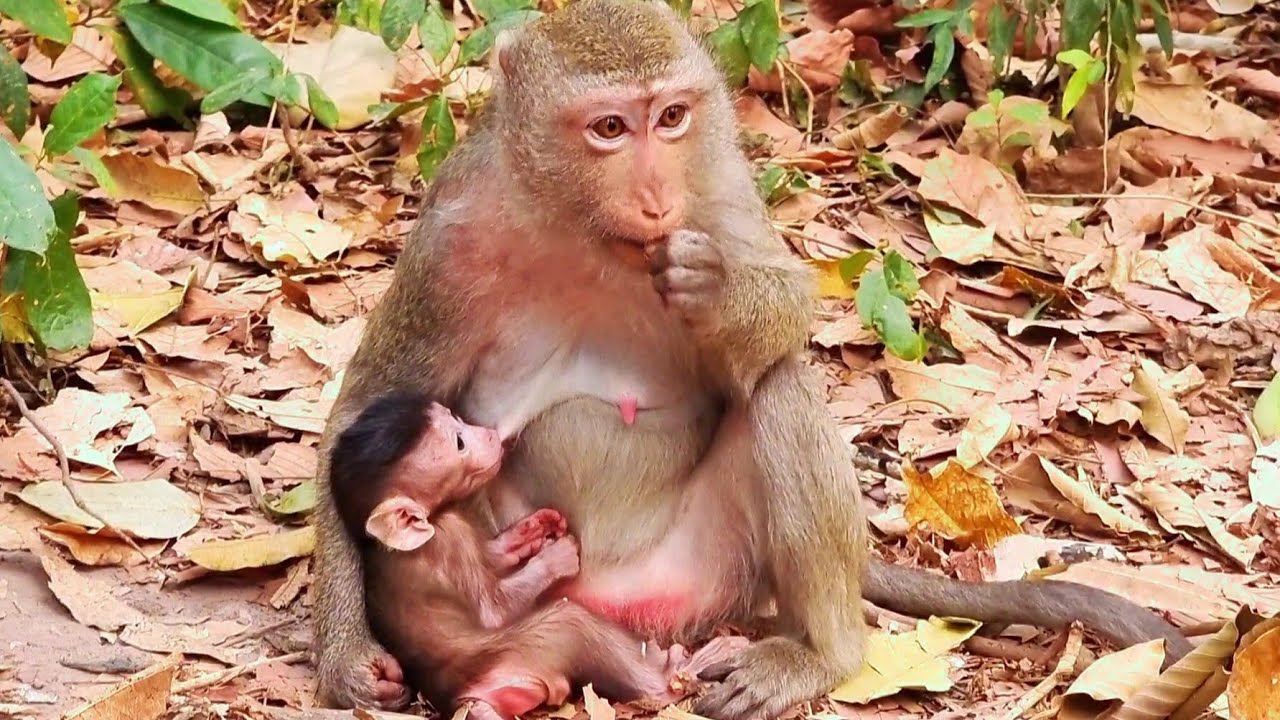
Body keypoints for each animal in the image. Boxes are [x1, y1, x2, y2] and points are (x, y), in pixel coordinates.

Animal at [328, 392, 743, 720]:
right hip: (523, 654)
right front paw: (559, 556)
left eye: (455, 419)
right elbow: (493, 612)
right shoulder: (448, 541)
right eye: (459, 442)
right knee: (572, 625)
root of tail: (467, 699)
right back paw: (673, 674)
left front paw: (532, 532)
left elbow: (492, 560)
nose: (489, 433)